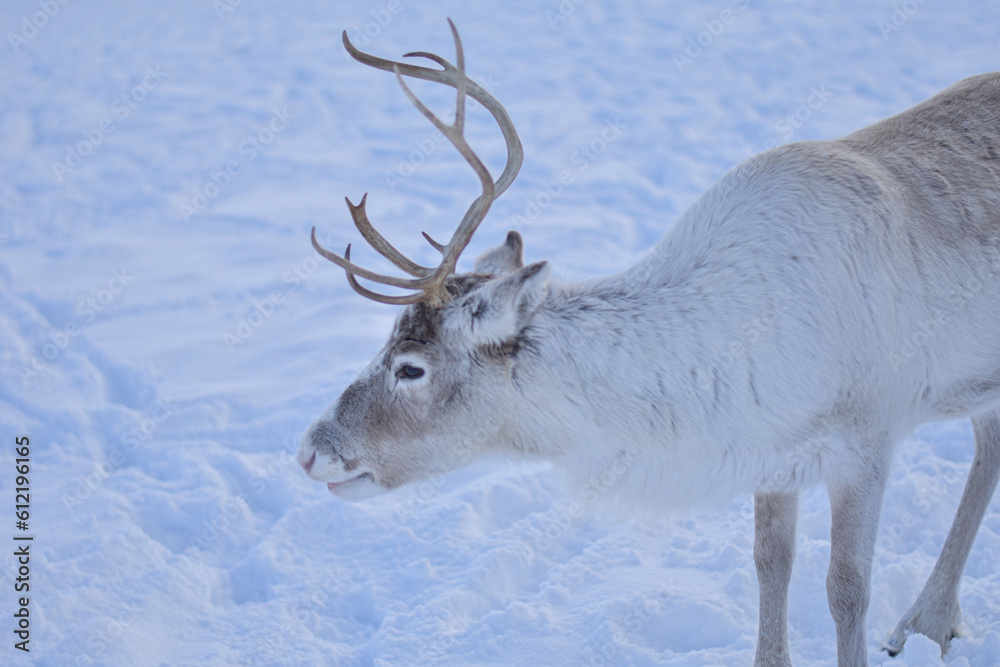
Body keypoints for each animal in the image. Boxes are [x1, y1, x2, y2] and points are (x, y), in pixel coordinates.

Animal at [296, 20, 1000, 666]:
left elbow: (846, 590)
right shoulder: (774, 455)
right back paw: (935, 619)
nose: (308, 452)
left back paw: (923, 621)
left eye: (411, 368)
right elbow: (771, 566)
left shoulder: (867, 440)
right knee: (988, 443)